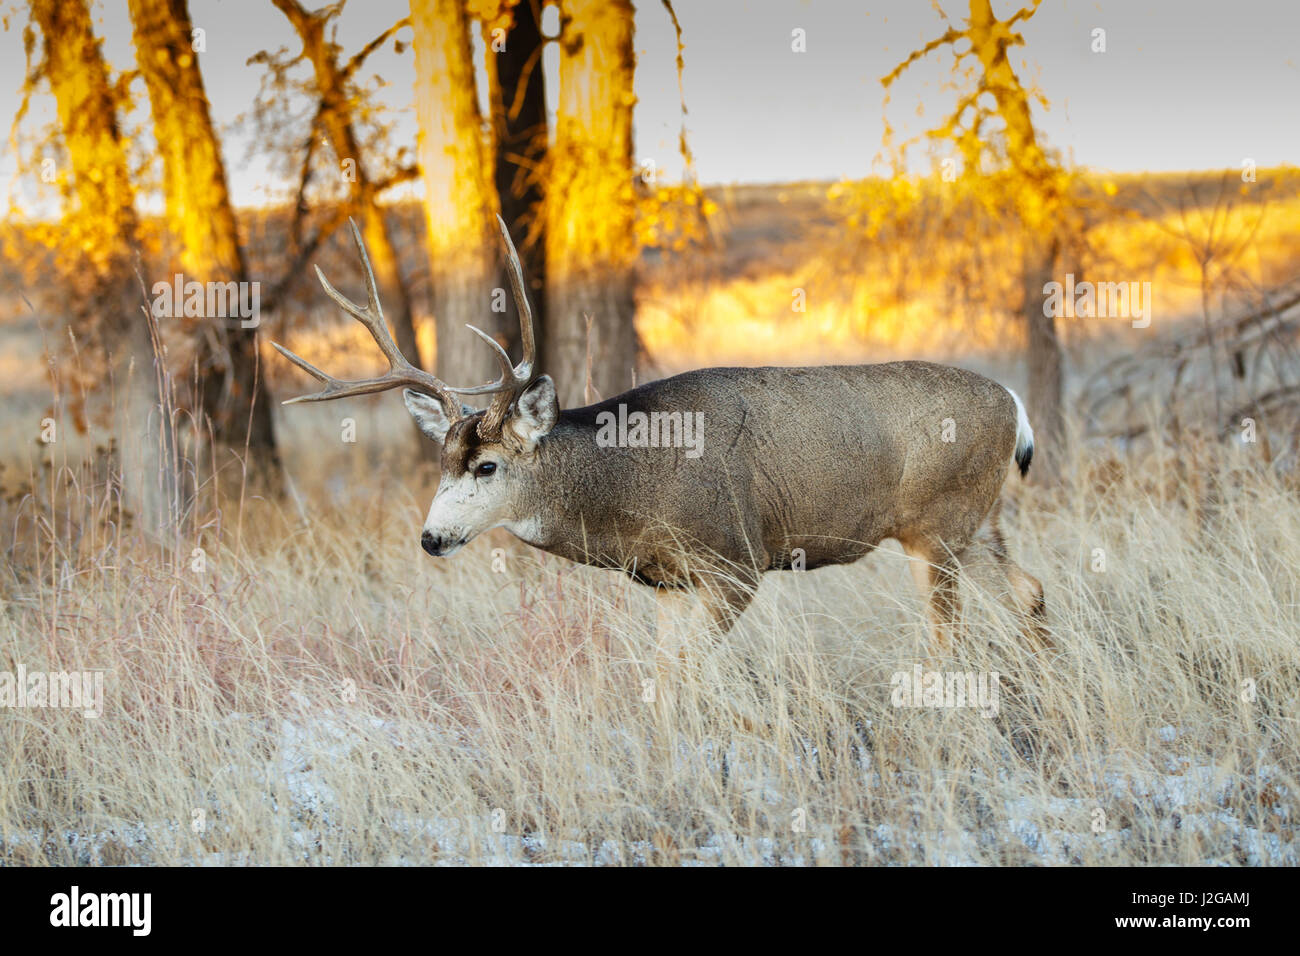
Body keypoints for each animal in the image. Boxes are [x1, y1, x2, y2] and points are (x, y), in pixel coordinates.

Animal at [273, 218, 1046, 661]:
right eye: (440, 462)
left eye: (487, 466)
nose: (431, 538)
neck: (631, 485)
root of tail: (1015, 403)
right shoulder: (669, 585)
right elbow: (666, 687)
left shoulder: (736, 560)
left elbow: (693, 679)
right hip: (977, 523)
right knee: (1029, 592)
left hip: (937, 527)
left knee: (952, 635)